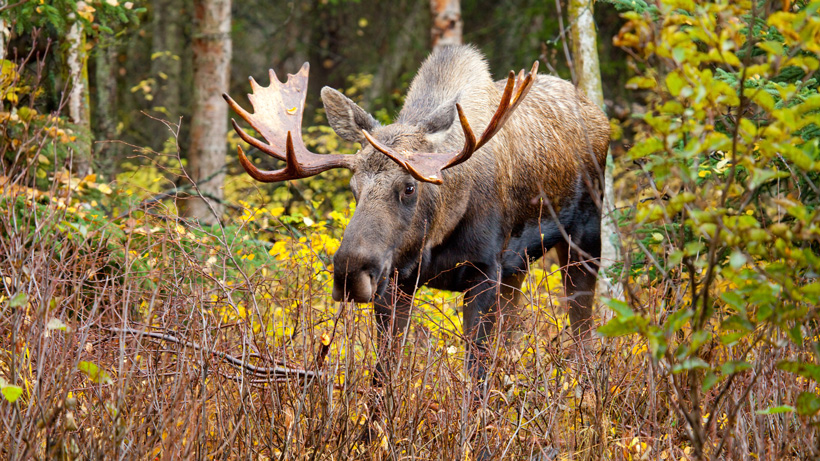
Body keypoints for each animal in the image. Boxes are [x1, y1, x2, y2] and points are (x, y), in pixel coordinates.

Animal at [223, 45, 610, 386]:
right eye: (353, 187)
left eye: (409, 187)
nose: (350, 273)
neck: (436, 236)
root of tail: (599, 114)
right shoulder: (395, 281)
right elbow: (383, 375)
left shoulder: (485, 271)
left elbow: (476, 377)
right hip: (517, 266)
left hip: (584, 240)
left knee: (583, 333)